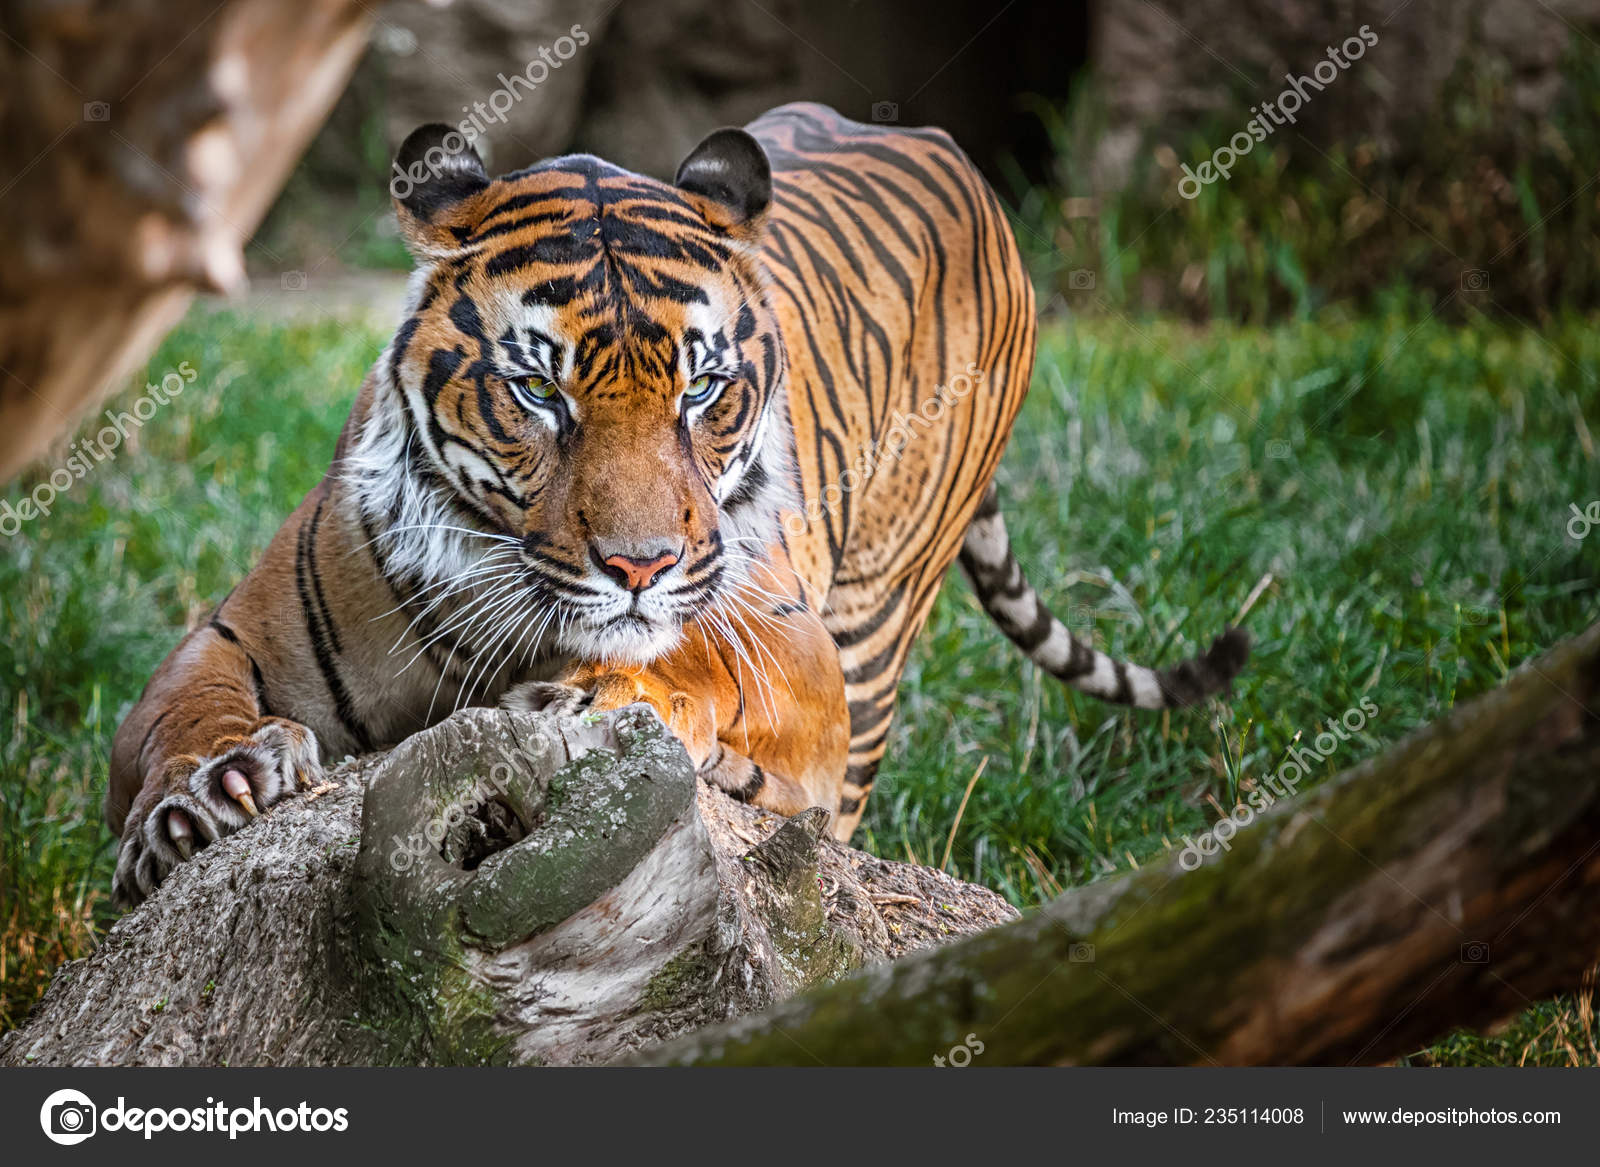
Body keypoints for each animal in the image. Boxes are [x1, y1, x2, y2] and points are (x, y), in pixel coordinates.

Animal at [107, 102, 1248, 906]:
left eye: (701, 391)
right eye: (539, 391)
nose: (639, 565)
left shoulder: (790, 642)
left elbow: (698, 665)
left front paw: (592, 698)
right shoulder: (229, 634)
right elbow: (179, 712)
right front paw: (212, 788)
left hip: (874, 629)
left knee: (830, 806)